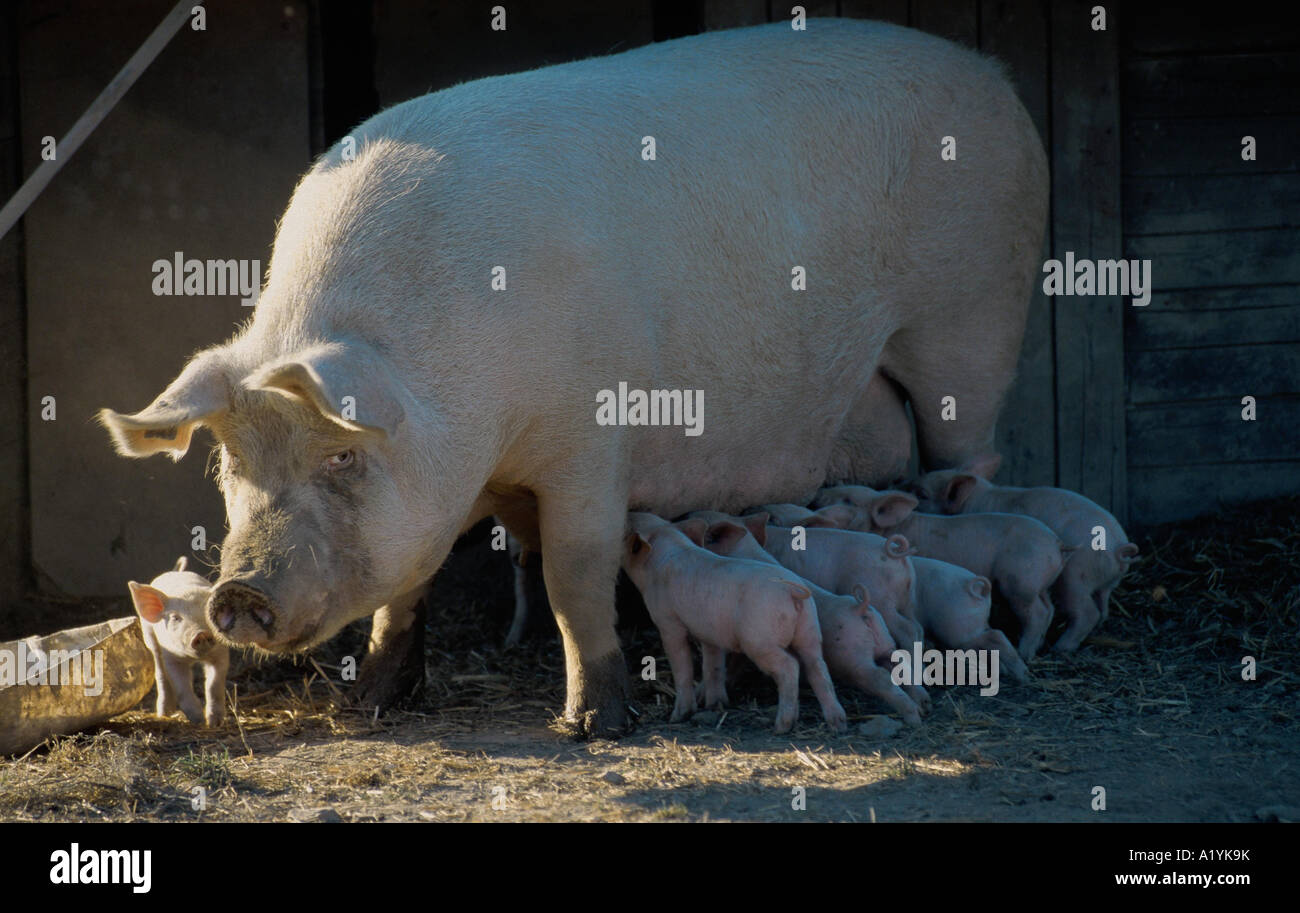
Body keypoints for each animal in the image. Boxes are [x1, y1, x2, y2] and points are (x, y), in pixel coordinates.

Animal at [127, 558, 229, 726]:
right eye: (175, 618)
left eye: (209, 613)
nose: (201, 633)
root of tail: (174, 572)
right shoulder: (171, 658)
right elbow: (181, 686)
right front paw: (198, 721)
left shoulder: (221, 653)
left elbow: (214, 685)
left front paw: (214, 723)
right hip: (150, 638)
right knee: (161, 675)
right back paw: (164, 713)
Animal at [622, 513, 846, 733]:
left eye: (627, 527)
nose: (629, 512)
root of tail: (792, 591)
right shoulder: (709, 631)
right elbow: (712, 665)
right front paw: (715, 705)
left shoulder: (668, 621)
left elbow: (681, 664)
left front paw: (677, 717)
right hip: (809, 629)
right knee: (817, 667)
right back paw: (838, 723)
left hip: (760, 639)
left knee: (790, 666)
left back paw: (782, 726)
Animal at [681, 514, 928, 724]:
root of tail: (861, 608)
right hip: (900, 613)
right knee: (905, 646)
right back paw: (923, 703)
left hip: (867, 634)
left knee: (893, 655)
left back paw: (913, 716)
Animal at [810, 485, 1072, 660]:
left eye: (848, 500)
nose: (816, 496)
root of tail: (1057, 542)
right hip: (1040, 583)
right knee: (1049, 608)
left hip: (1020, 582)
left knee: (1036, 612)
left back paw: (1025, 652)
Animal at [911, 455, 1139, 653]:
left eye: (922, 494)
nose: (905, 486)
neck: (974, 498)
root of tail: (1118, 547)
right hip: (1102, 582)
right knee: (1102, 607)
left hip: (1074, 577)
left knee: (1085, 613)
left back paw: (1058, 649)